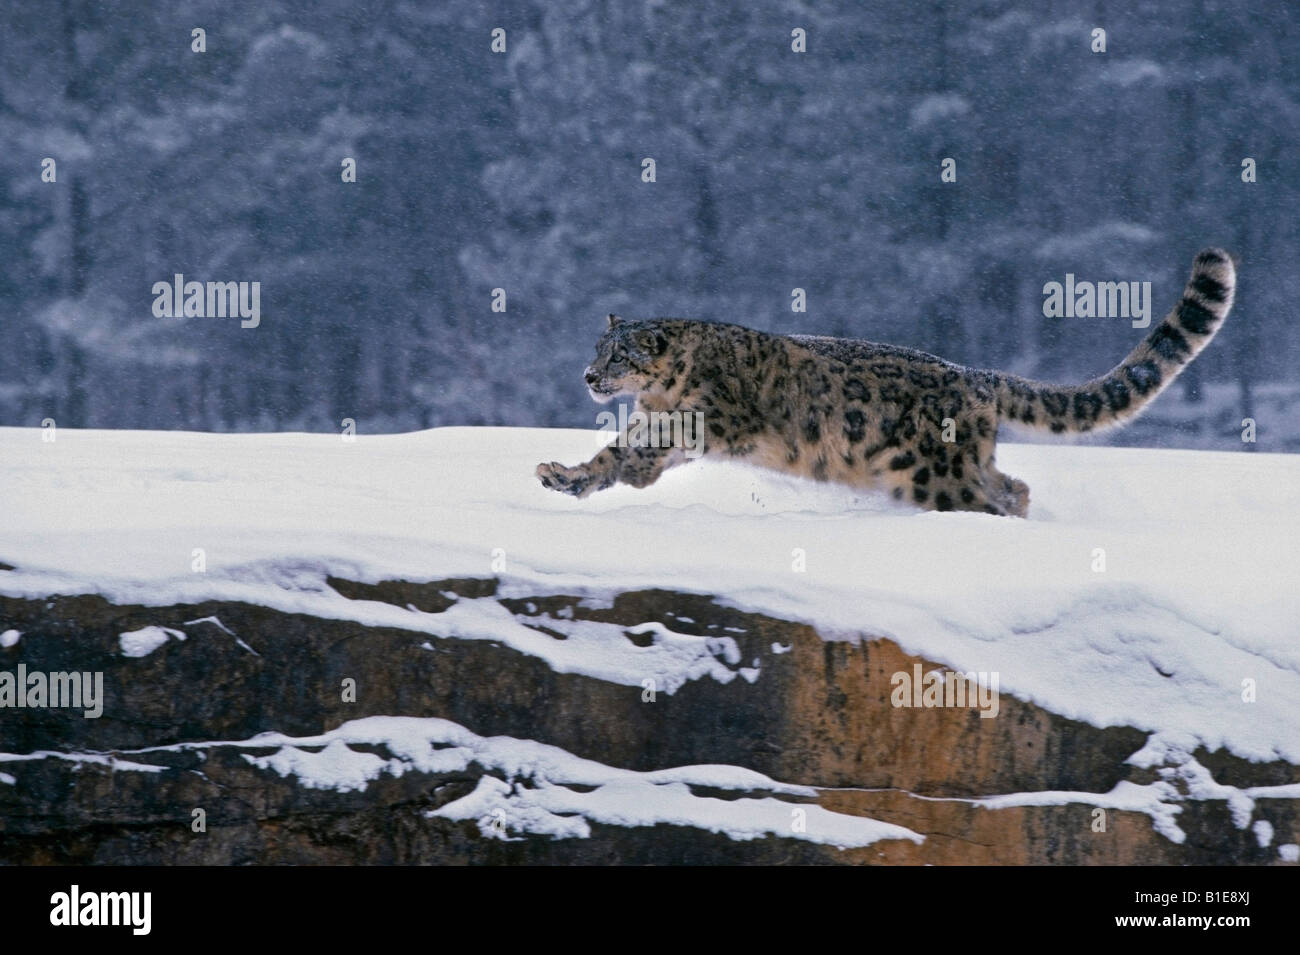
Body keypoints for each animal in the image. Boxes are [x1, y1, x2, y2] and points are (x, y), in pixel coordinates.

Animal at [536, 248, 1236, 517]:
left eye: (618, 355)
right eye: (597, 349)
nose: (589, 375)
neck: (658, 395)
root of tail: (975, 377)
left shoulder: (705, 418)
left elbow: (645, 448)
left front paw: (620, 472)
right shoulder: (652, 417)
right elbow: (613, 452)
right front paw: (565, 477)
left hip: (929, 474)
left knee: (988, 500)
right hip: (956, 466)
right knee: (1012, 485)